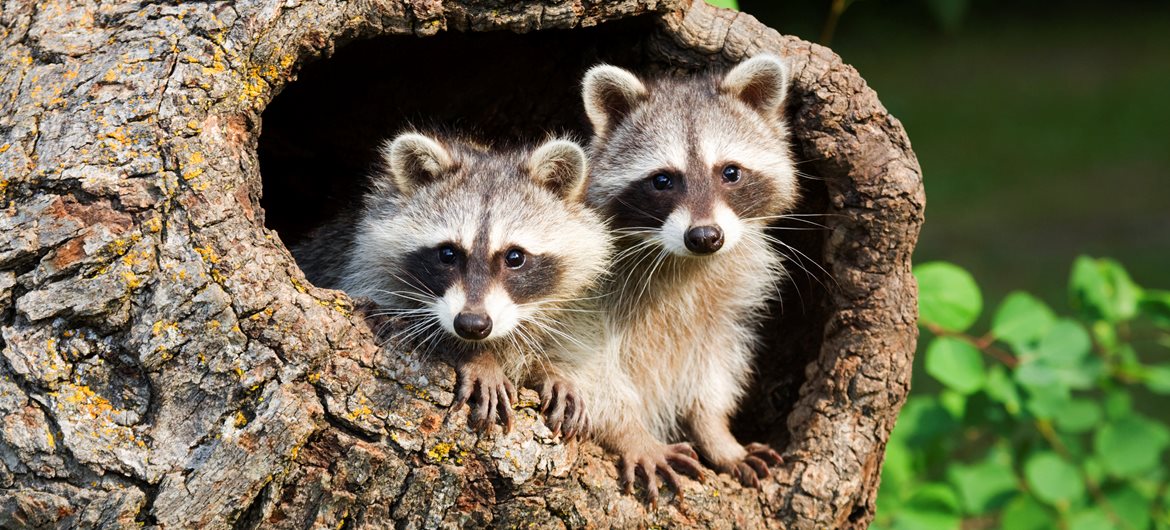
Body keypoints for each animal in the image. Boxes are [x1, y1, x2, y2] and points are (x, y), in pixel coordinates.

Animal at [293, 132, 612, 437]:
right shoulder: (364, 273)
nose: (472, 325)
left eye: (515, 257)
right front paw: (477, 357)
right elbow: (399, 321)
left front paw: (551, 370)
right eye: (447, 253)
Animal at [574, 55, 798, 494]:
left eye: (730, 172)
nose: (705, 237)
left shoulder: (725, 302)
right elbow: (586, 371)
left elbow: (711, 370)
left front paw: (718, 434)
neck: (685, 263)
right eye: (662, 180)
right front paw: (632, 433)